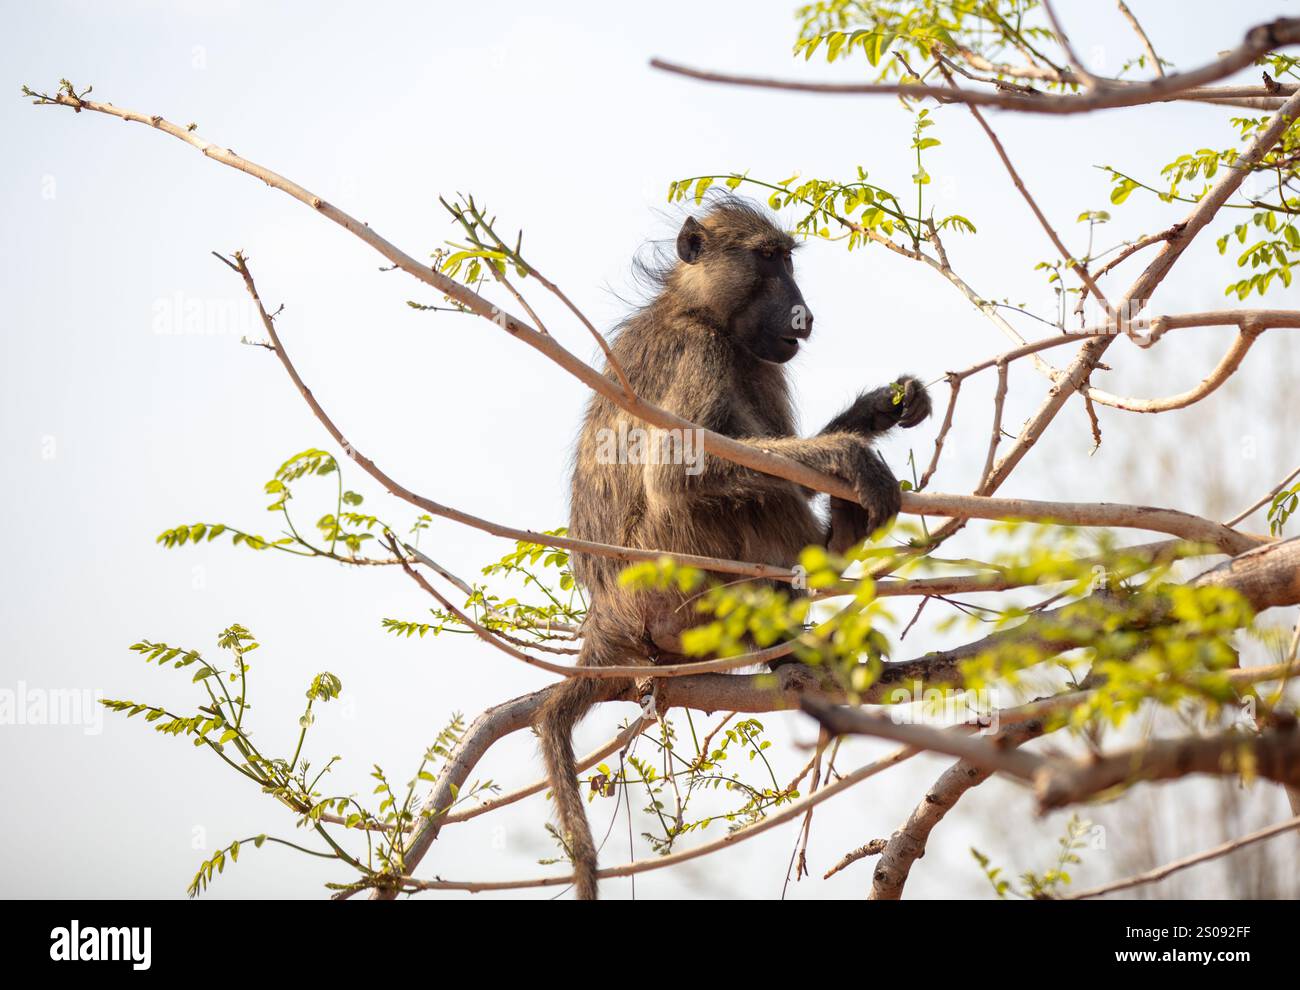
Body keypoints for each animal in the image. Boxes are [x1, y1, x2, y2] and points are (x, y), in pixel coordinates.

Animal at [538, 197, 931, 899]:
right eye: (767, 259)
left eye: (788, 259)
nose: (804, 315)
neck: (695, 310)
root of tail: (604, 621)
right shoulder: (699, 354)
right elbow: (682, 474)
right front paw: (854, 457)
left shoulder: (760, 362)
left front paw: (885, 406)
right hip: (669, 583)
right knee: (738, 497)